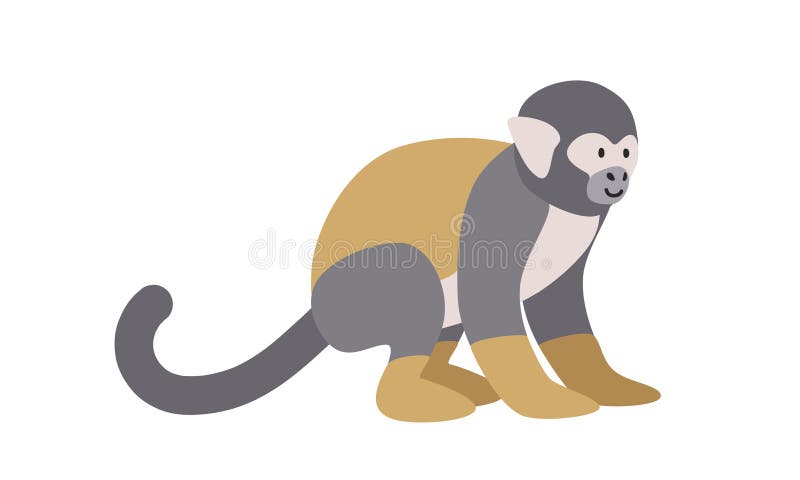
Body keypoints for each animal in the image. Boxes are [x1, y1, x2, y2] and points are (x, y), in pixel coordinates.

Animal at [116, 80, 660, 422]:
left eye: (626, 152)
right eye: (598, 153)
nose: (617, 177)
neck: (548, 194)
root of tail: (320, 312)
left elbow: (559, 313)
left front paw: (607, 386)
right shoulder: (504, 207)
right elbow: (490, 304)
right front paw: (543, 400)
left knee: (445, 306)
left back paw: (440, 377)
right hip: (352, 302)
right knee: (415, 278)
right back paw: (408, 397)